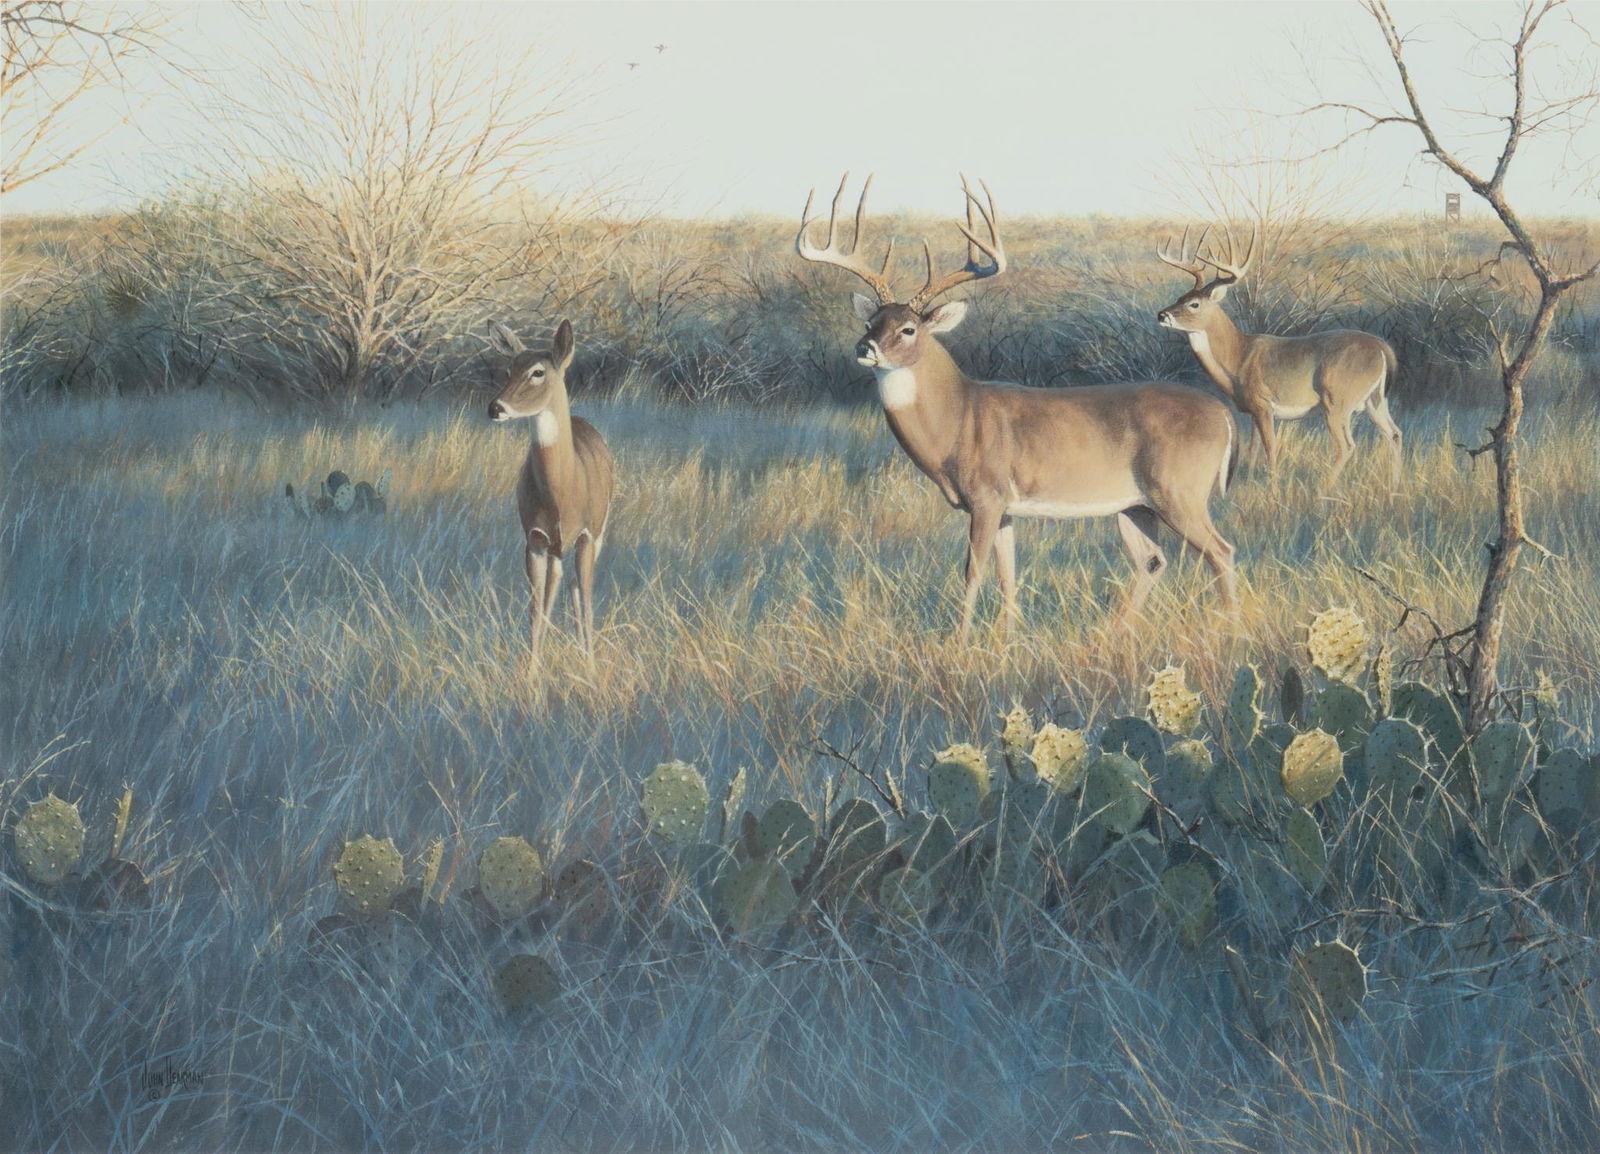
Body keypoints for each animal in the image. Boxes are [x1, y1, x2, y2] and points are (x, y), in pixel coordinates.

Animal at [487, 318, 614, 671]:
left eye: (537, 372)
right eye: (508, 370)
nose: (495, 407)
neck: (561, 490)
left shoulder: (586, 533)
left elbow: (586, 600)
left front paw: (591, 668)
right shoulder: (534, 539)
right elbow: (535, 611)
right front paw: (531, 672)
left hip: (600, 529)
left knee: (576, 586)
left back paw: (584, 650)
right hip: (557, 546)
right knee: (559, 585)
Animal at [795, 174, 1240, 639]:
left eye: (908, 328)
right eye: (869, 322)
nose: (865, 348)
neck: (957, 418)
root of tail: (1224, 414)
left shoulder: (986, 495)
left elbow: (972, 571)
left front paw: (960, 641)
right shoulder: (1006, 507)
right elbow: (1007, 573)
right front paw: (1006, 639)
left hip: (1180, 490)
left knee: (1221, 551)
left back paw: (1231, 631)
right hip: (1136, 505)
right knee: (1153, 561)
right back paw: (1110, 633)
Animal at [1156, 227, 1403, 489]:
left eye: (1194, 304)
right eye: (1180, 298)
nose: (1161, 315)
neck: (1237, 357)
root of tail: (1384, 349)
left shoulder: (1264, 404)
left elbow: (1271, 449)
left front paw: (1272, 490)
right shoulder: (1253, 410)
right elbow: (1253, 450)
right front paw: (1248, 486)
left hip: (1338, 401)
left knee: (1347, 446)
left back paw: (1323, 489)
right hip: (1375, 399)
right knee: (1394, 433)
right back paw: (1395, 486)